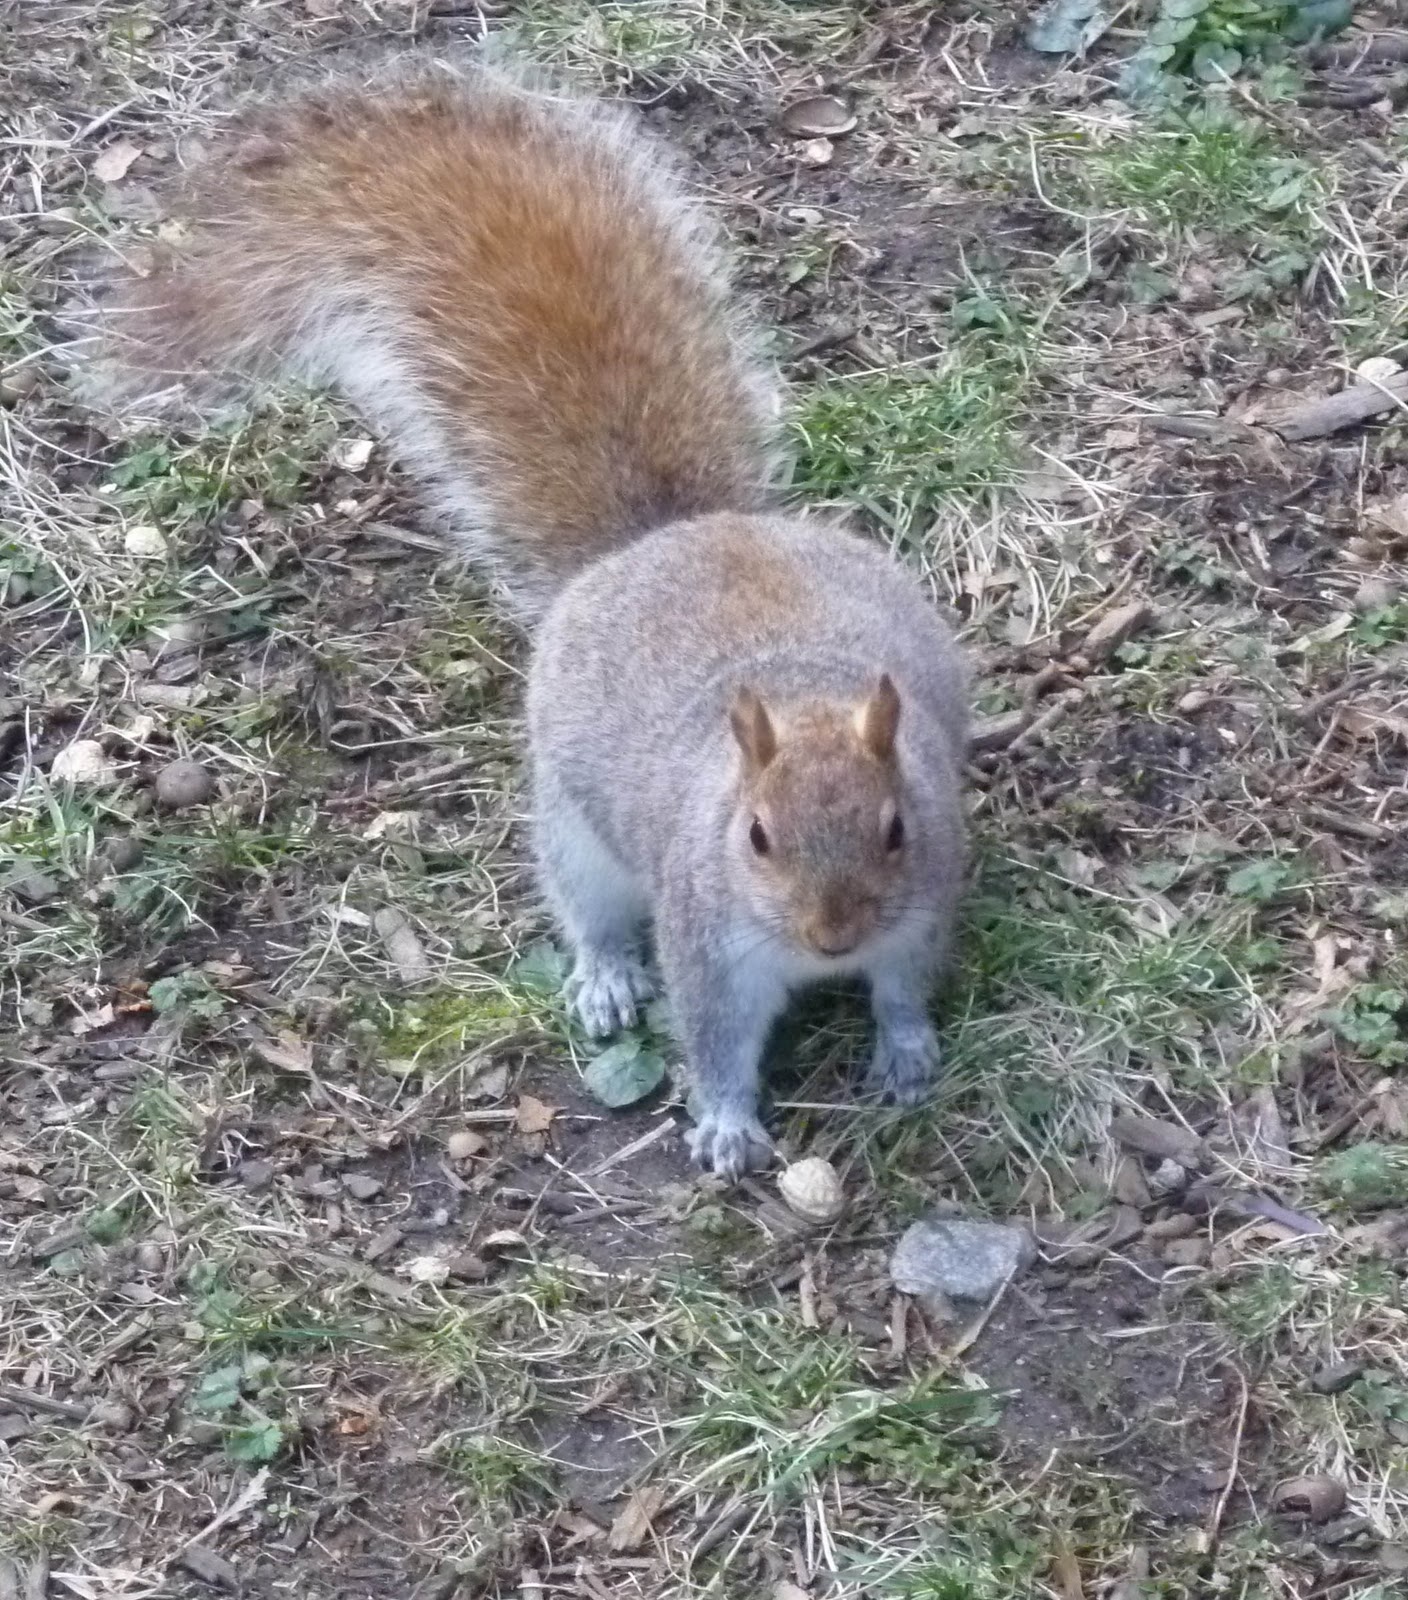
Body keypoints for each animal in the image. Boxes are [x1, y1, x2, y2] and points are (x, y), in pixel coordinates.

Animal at [84, 52, 971, 1179]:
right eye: (757, 837)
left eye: (897, 828)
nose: (832, 937)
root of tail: (664, 538)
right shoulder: (706, 944)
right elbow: (715, 1041)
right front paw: (726, 1125)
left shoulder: (924, 907)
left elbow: (904, 990)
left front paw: (905, 1053)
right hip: (572, 832)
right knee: (585, 905)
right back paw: (604, 977)